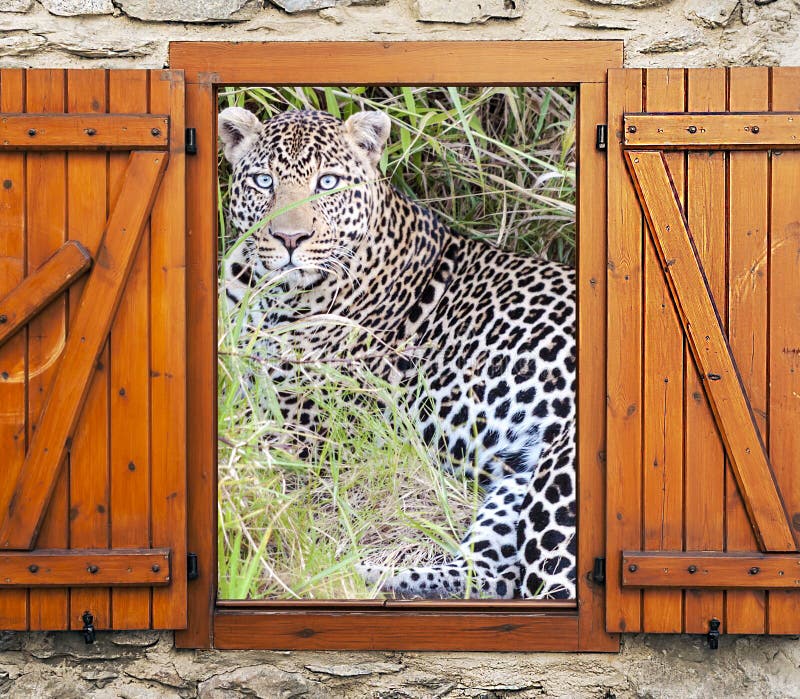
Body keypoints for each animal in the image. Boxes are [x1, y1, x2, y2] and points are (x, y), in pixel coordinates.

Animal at [218, 105, 576, 600]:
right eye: (264, 181)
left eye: (327, 182)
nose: (291, 239)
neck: (265, 291)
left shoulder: (305, 432)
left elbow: (245, 459)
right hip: (516, 484)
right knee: (491, 577)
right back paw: (359, 572)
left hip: (561, 476)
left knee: (547, 585)